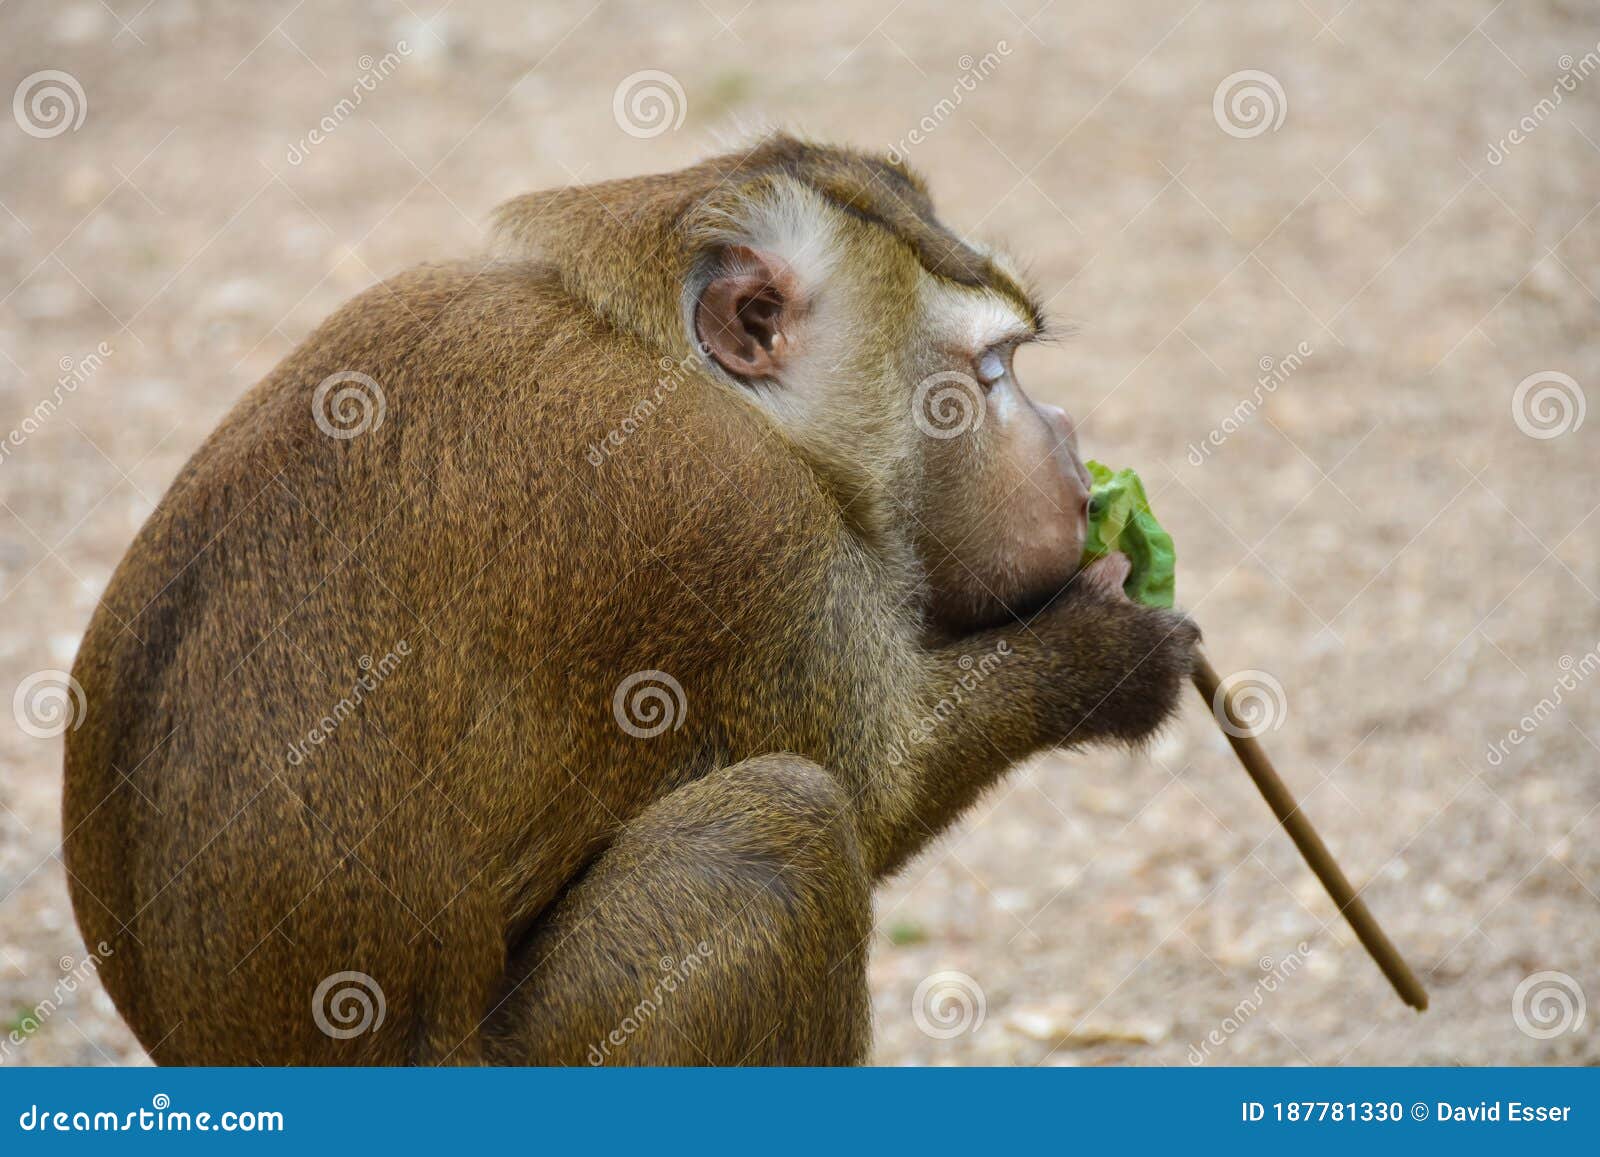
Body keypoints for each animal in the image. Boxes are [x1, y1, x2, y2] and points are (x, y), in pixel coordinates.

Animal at [62, 134, 1199, 1066]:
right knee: (776, 838)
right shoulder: (740, 519)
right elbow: (881, 790)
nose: (1066, 440)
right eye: (994, 371)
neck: (660, 354)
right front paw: (1105, 650)